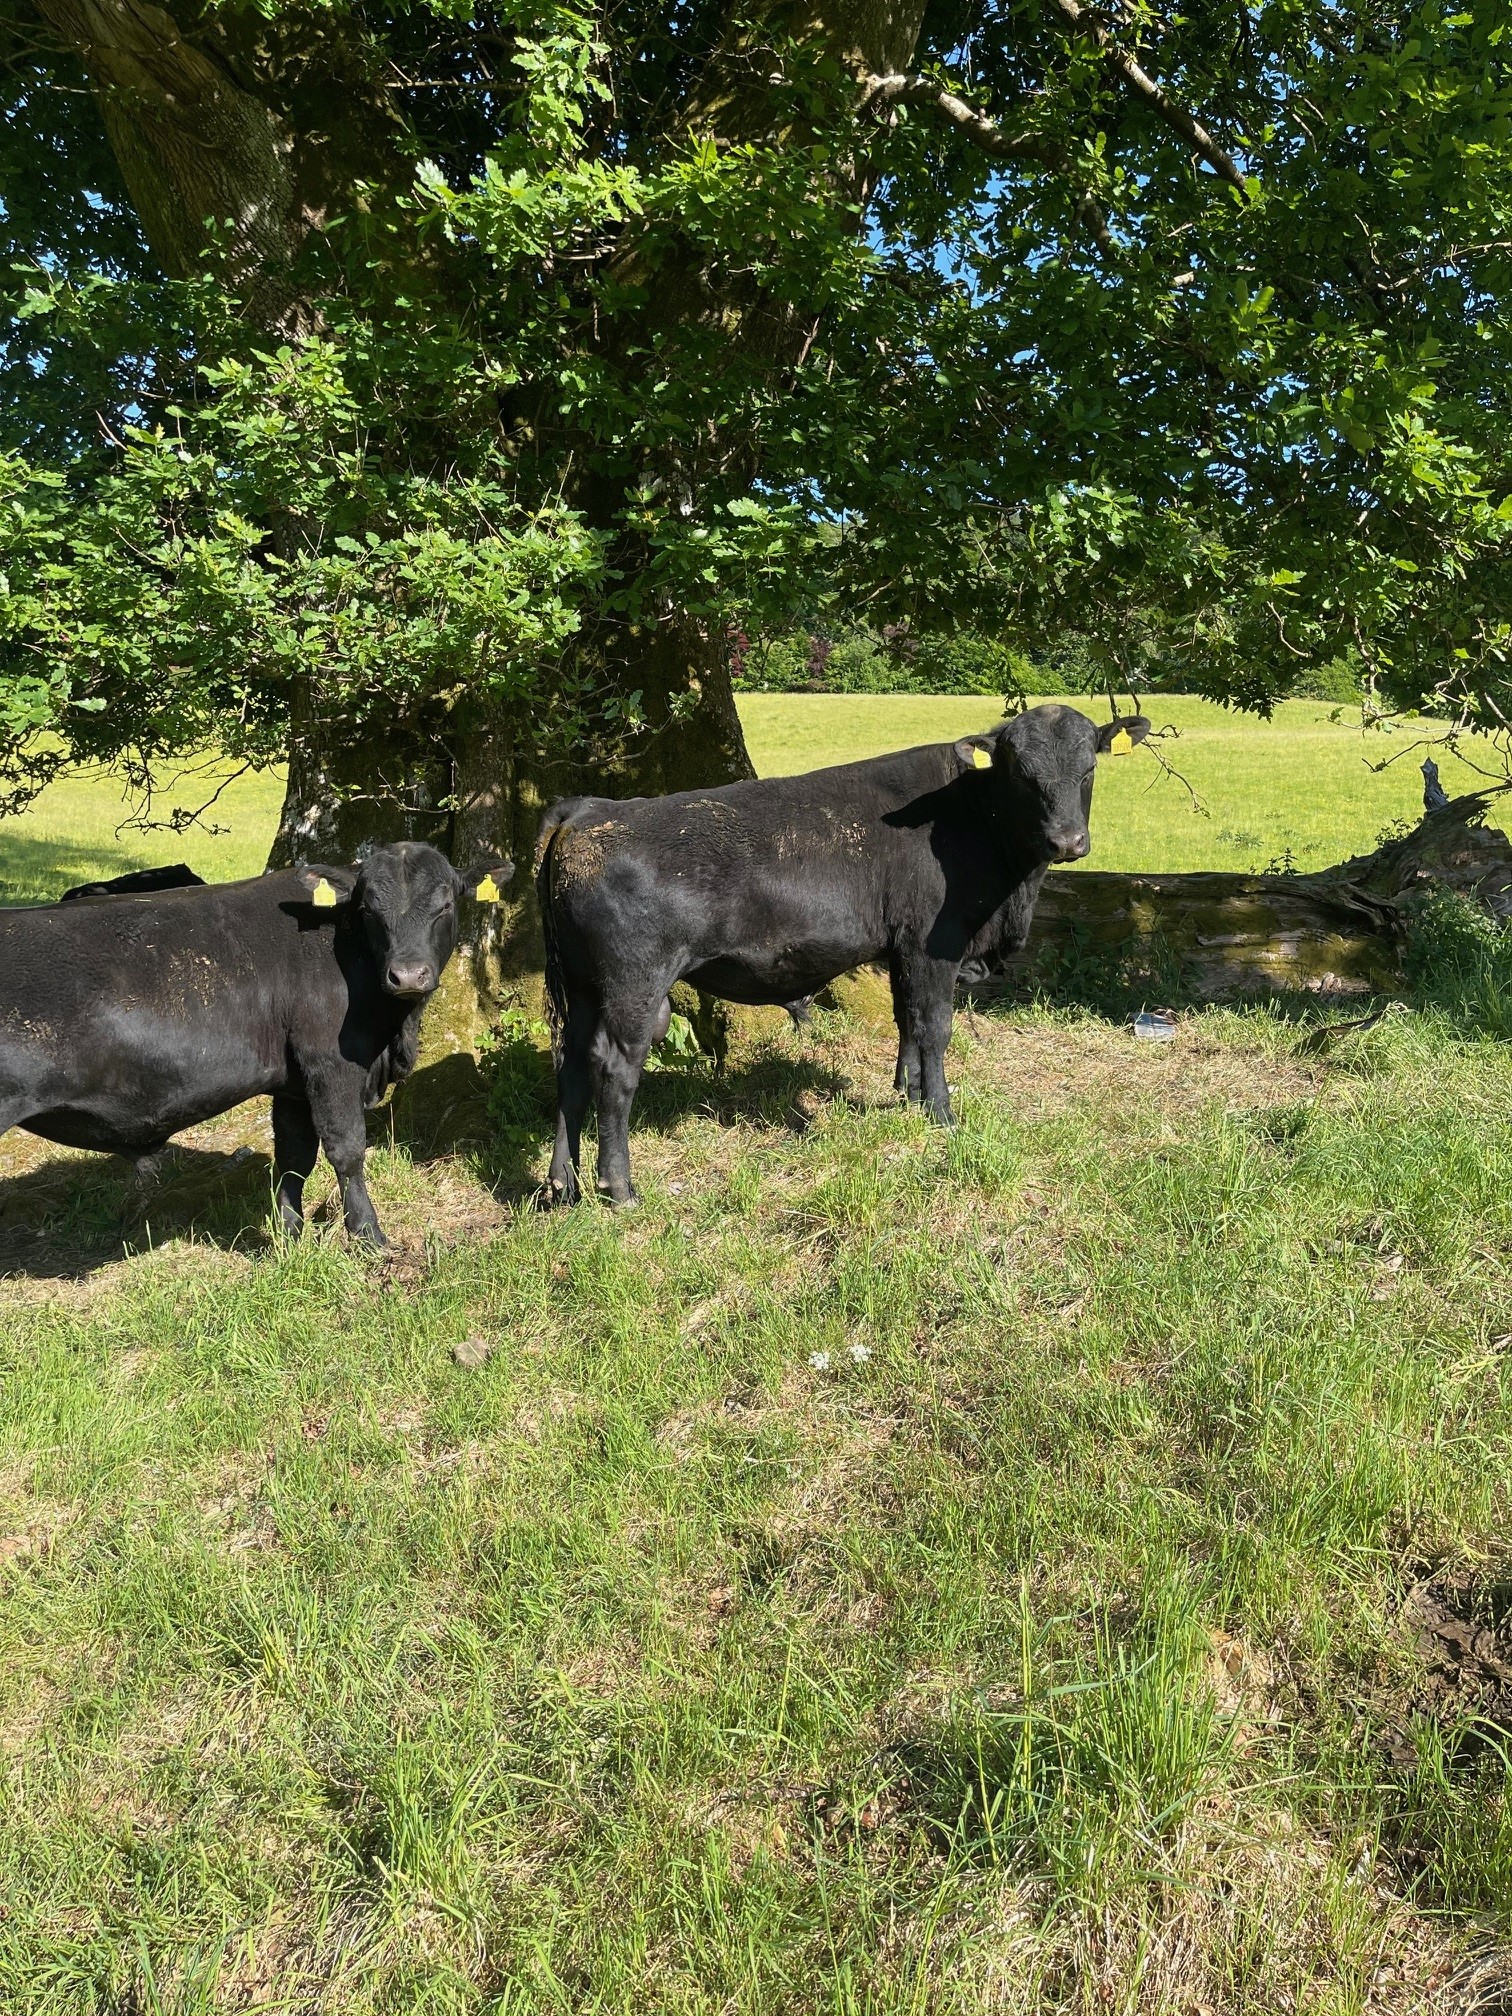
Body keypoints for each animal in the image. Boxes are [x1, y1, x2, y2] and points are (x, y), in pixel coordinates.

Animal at [0, 842, 511, 1247]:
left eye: (445, 905)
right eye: (369, 910)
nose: (407, 975)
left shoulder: (293, 1083)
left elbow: (294, 1157)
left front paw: (291, 1233)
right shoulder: (331, 1063)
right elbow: (346, 1150)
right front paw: (369, 1235)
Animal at [536, 702, 1150, 1205]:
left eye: (1089, 770)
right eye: (1021, 773)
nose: (1067, 842)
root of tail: (588, 809)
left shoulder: (901, 949)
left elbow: (906, 1020)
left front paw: (907, 1093)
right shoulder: (934, 945)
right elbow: (935, 1027)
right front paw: (942, 1113)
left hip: (582, 988)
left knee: (570, 1067)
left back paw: (562, 1185)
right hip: (634, 986)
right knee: (614, 1070)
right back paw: (620, 1187)